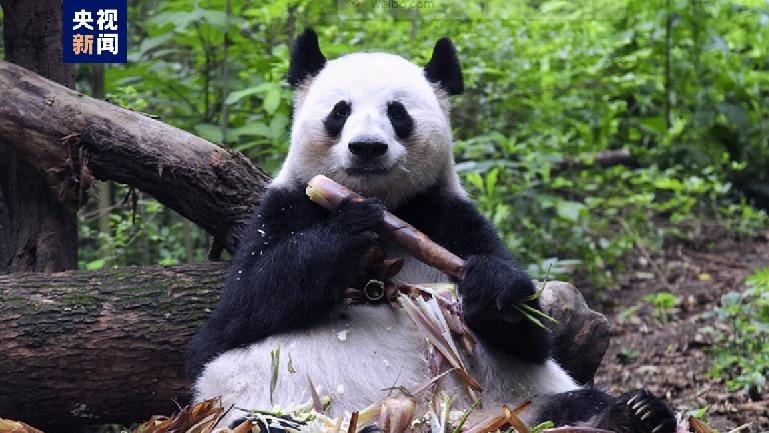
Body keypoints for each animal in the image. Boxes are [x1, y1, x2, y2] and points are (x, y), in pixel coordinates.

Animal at [187, 29, 676, 433]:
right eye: (339, 111)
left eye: (398, 113)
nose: (367, 148)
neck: (389, 207)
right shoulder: (284, 208)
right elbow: (237, 315)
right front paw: (351, 226)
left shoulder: (448, 217)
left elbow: (533, 341)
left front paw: (493, 286)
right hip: (270, 406)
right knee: (262, 421)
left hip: (517, 400)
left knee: (574, 403)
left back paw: (634, 414)